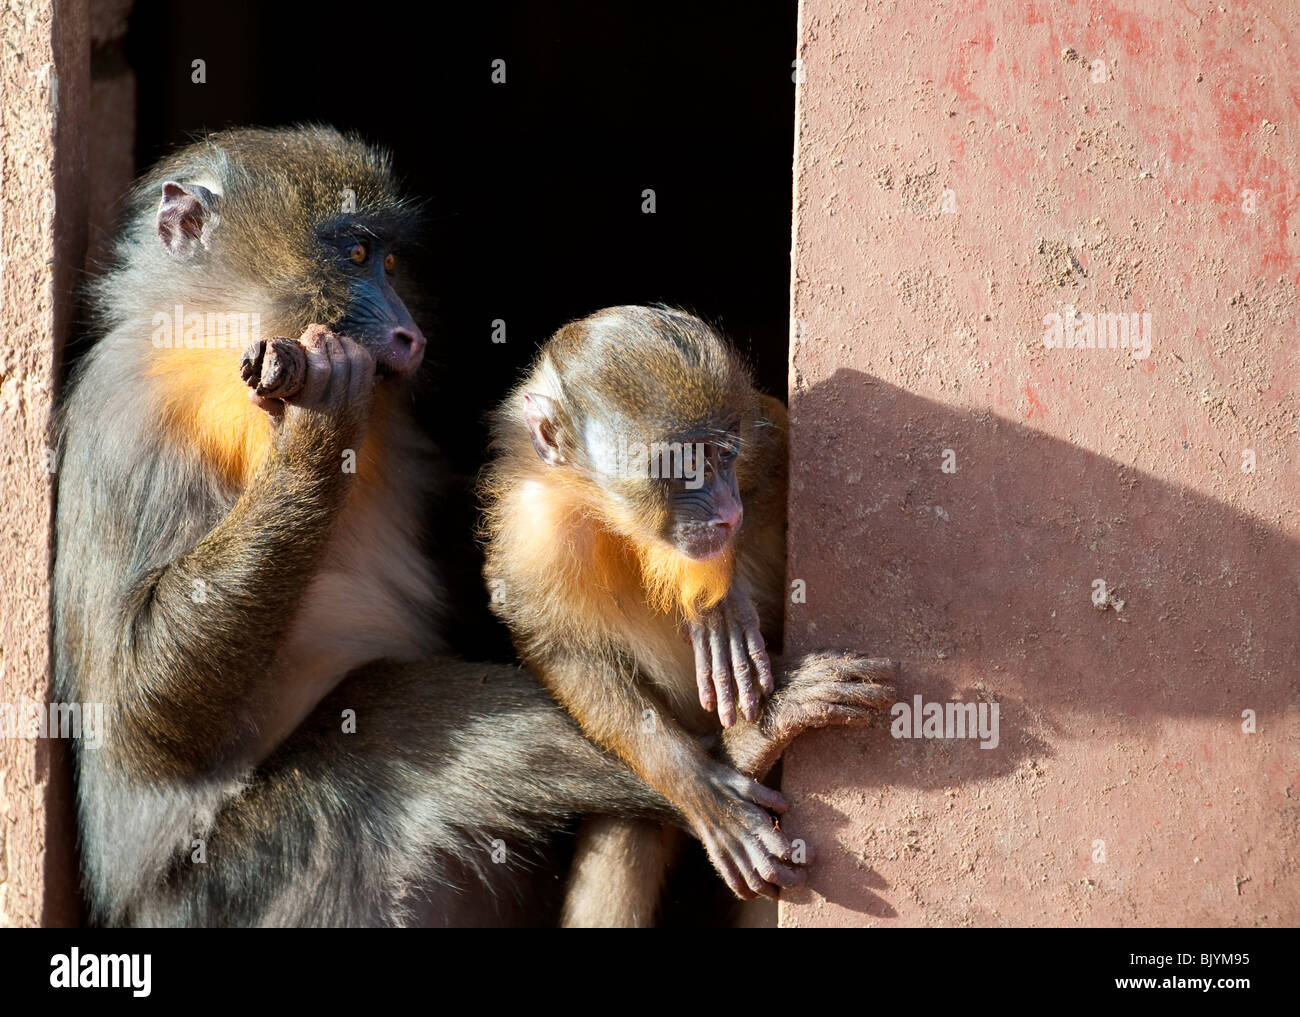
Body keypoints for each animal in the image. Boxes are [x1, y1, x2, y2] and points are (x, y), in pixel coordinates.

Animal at [480, 305, 898, 926]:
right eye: (682, 466)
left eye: (721, 457)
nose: (725, 511)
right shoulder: (527, 527)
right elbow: (557, 647)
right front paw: (701, 784)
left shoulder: (755, 439)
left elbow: (779, 453)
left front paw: (720, 608)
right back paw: (744, 748)